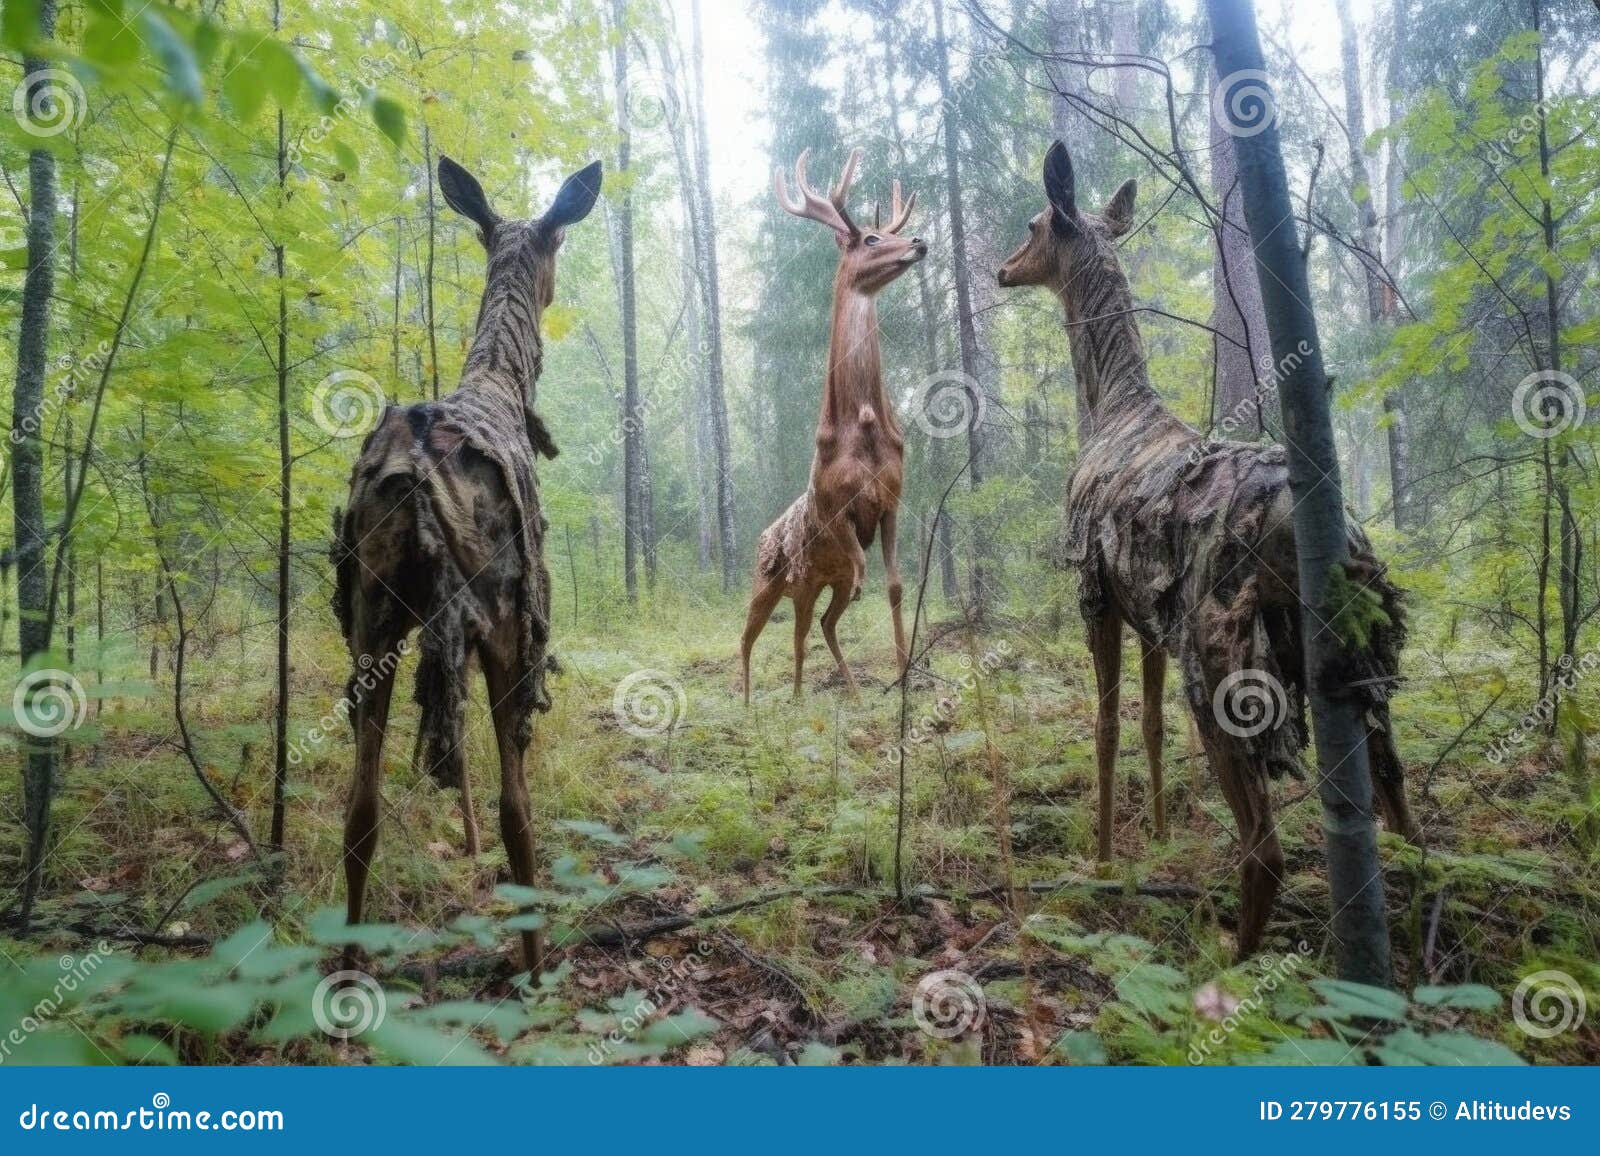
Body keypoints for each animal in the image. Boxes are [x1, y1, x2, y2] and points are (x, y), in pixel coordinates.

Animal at [330, 154, 601, 971]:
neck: (499, 383)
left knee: (360, 811)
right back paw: (536, 965)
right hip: (502, 618)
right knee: (520, 808)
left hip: (370, 620)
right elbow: (505, 799)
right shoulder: (513, 620)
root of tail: (415, 470)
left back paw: (348, 971)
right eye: (557, 244)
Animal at [739, 148, 926, 703]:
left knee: (818, 625)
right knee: (760, 633)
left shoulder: (892, 500)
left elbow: (894, 585)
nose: (919, 241)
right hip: (773, 579)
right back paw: (760, 699)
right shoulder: (835, 509)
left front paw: (904, 677)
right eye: (870, 239)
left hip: (824, 581)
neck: (862, 430)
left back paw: (847, 692)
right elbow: (863, 569)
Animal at [997, 141, 1417, 956]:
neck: (1109, 409)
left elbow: (1105, 729)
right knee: (1402, 808)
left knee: (1265, 847)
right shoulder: (1147, 611)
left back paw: (1227, 956)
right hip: (1359, 668)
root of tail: (1339, 541)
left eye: (1033, 224)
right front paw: (1158, 838)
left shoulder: (1095, 593)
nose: (1001, 268)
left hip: (1222, 656)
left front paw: (1101, 858)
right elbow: (1151, 727)